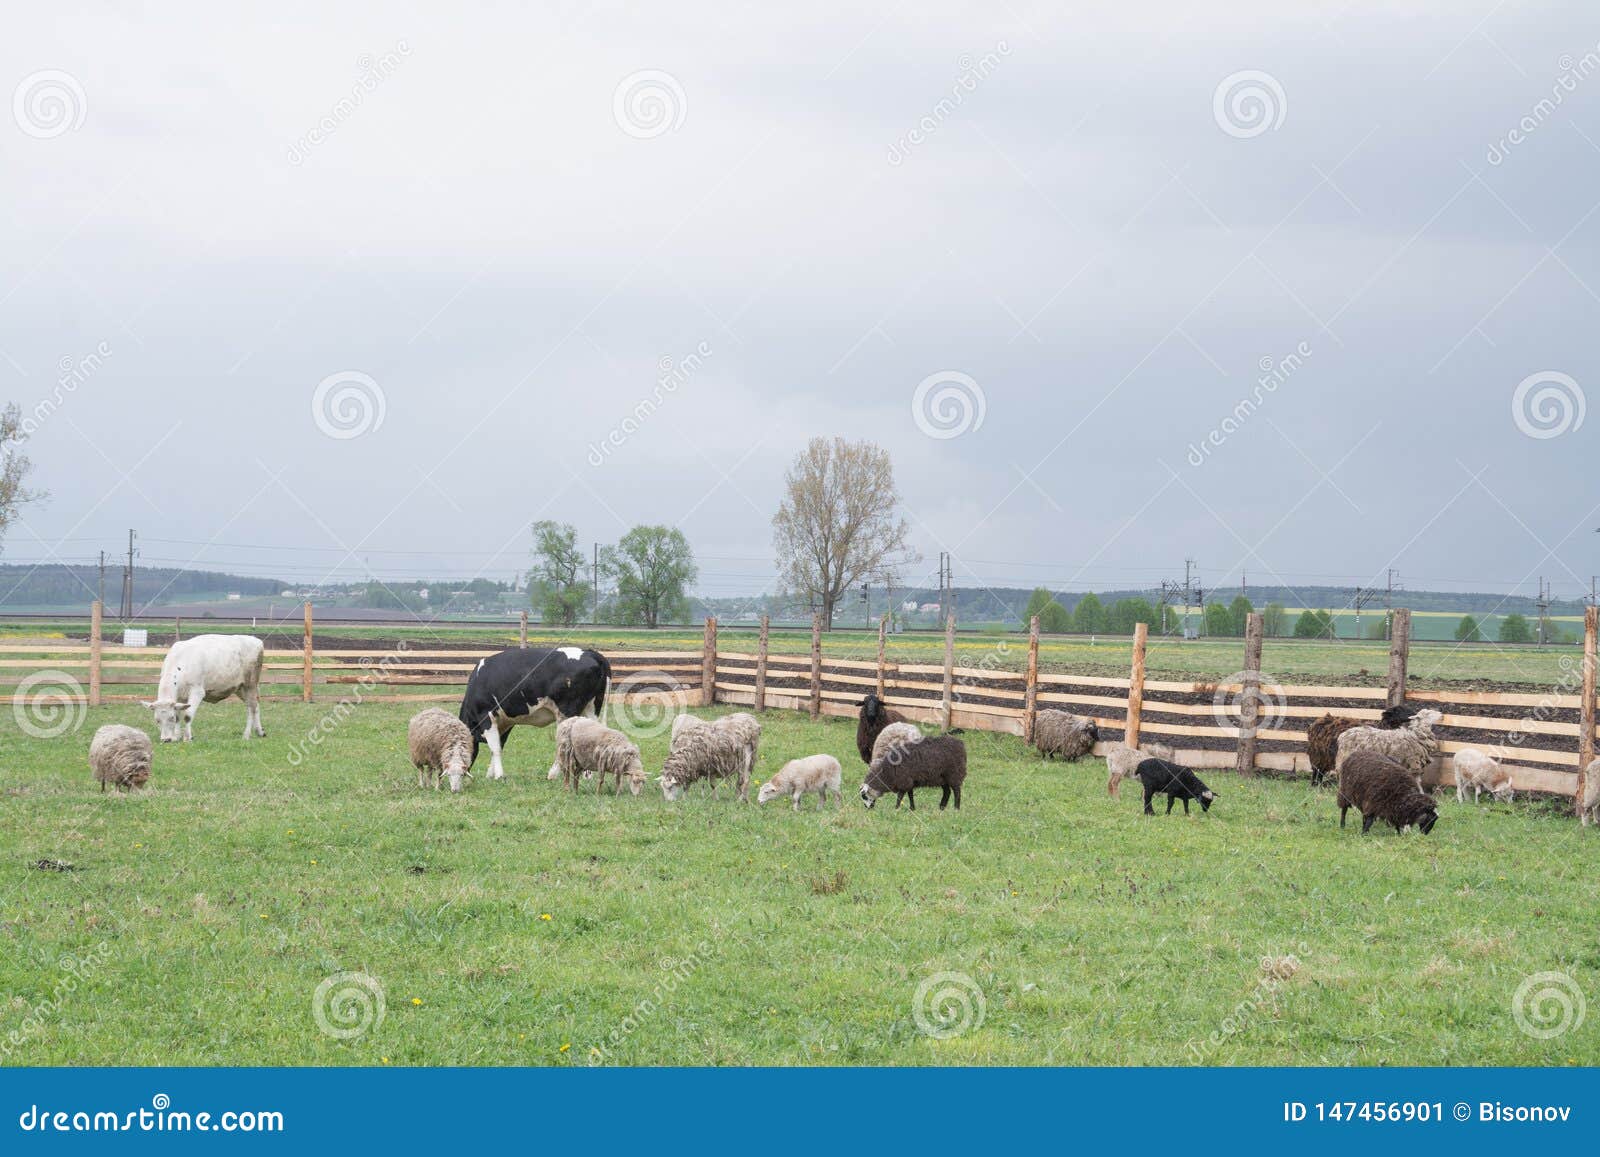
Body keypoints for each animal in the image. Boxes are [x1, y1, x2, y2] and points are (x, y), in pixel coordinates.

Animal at [457, 646, 612, 780]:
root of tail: (590, 652)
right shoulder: (505, 722)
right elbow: (499, 745)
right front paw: (491, 774)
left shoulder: (486, 715)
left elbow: (494, 748)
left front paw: (499, 776)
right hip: (591, 708)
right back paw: (588, 775)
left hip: (567, 712)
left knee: (565, 744)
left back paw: (553, 774)